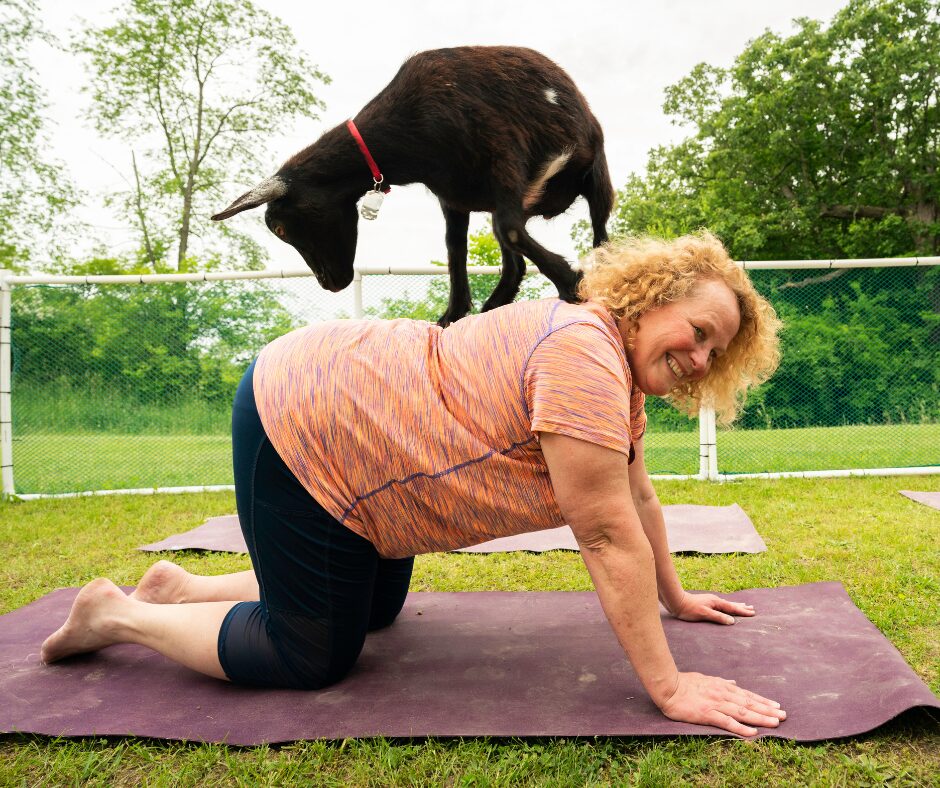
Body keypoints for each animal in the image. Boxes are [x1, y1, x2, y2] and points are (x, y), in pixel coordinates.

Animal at [211, 46, 616, 326]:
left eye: (281, 227)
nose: (329, 283)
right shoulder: (454, 197)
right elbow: (456, 251)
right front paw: (452, 316)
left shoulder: (505, 160)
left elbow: (509, 232)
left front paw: (571, 282)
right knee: (513, 263)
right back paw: (492, 308)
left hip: (596, 178)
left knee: (600, 238)